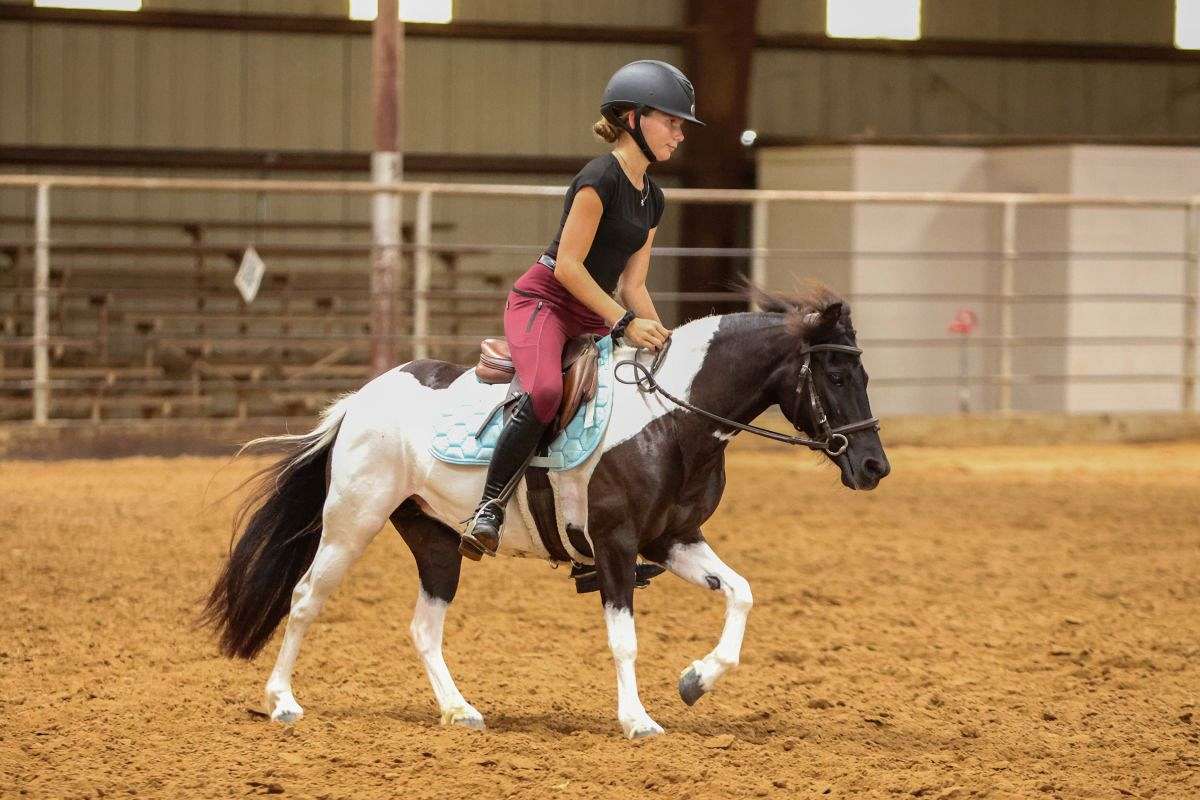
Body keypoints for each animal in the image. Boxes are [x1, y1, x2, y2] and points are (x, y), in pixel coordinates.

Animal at [202, 284, 889, 739]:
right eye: (834, 374)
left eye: (861, 373)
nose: (873, 467)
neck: (672, 419)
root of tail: (363, 399)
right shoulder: (615, 545)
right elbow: (624, 639)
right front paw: (637, 719)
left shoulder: (674, 539)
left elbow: (741, 593)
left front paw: (696, 680)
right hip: (352, 523)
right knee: (305, 599)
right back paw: (283, 702)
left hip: (436, 539)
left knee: (424, 627)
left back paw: (459, 711)